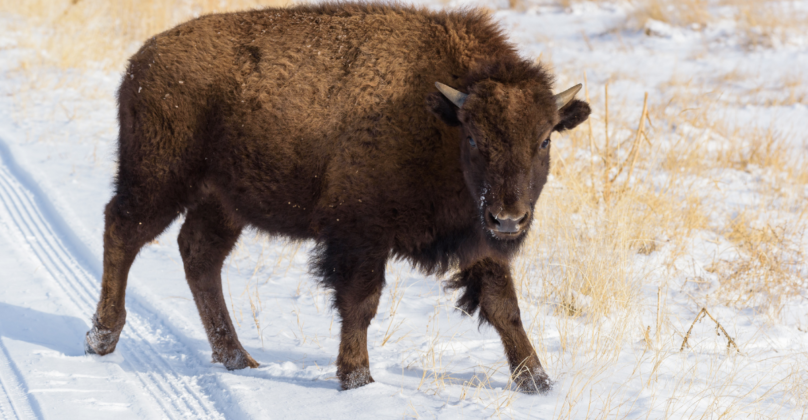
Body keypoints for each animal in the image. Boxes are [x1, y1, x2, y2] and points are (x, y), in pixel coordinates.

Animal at [85, 2, 591, 393]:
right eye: (472, 137)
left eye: (545, 139)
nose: (509, 218)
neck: (436, 115)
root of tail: (141, 61)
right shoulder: (361, 236)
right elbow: (361, 303)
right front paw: (356, 379)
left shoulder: (478, 237)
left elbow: (504, 306)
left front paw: (538, 382)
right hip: (157, 179)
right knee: (121, 231)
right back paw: (102, 339)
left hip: (221, 202)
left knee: (198, 256)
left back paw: (238, 358)